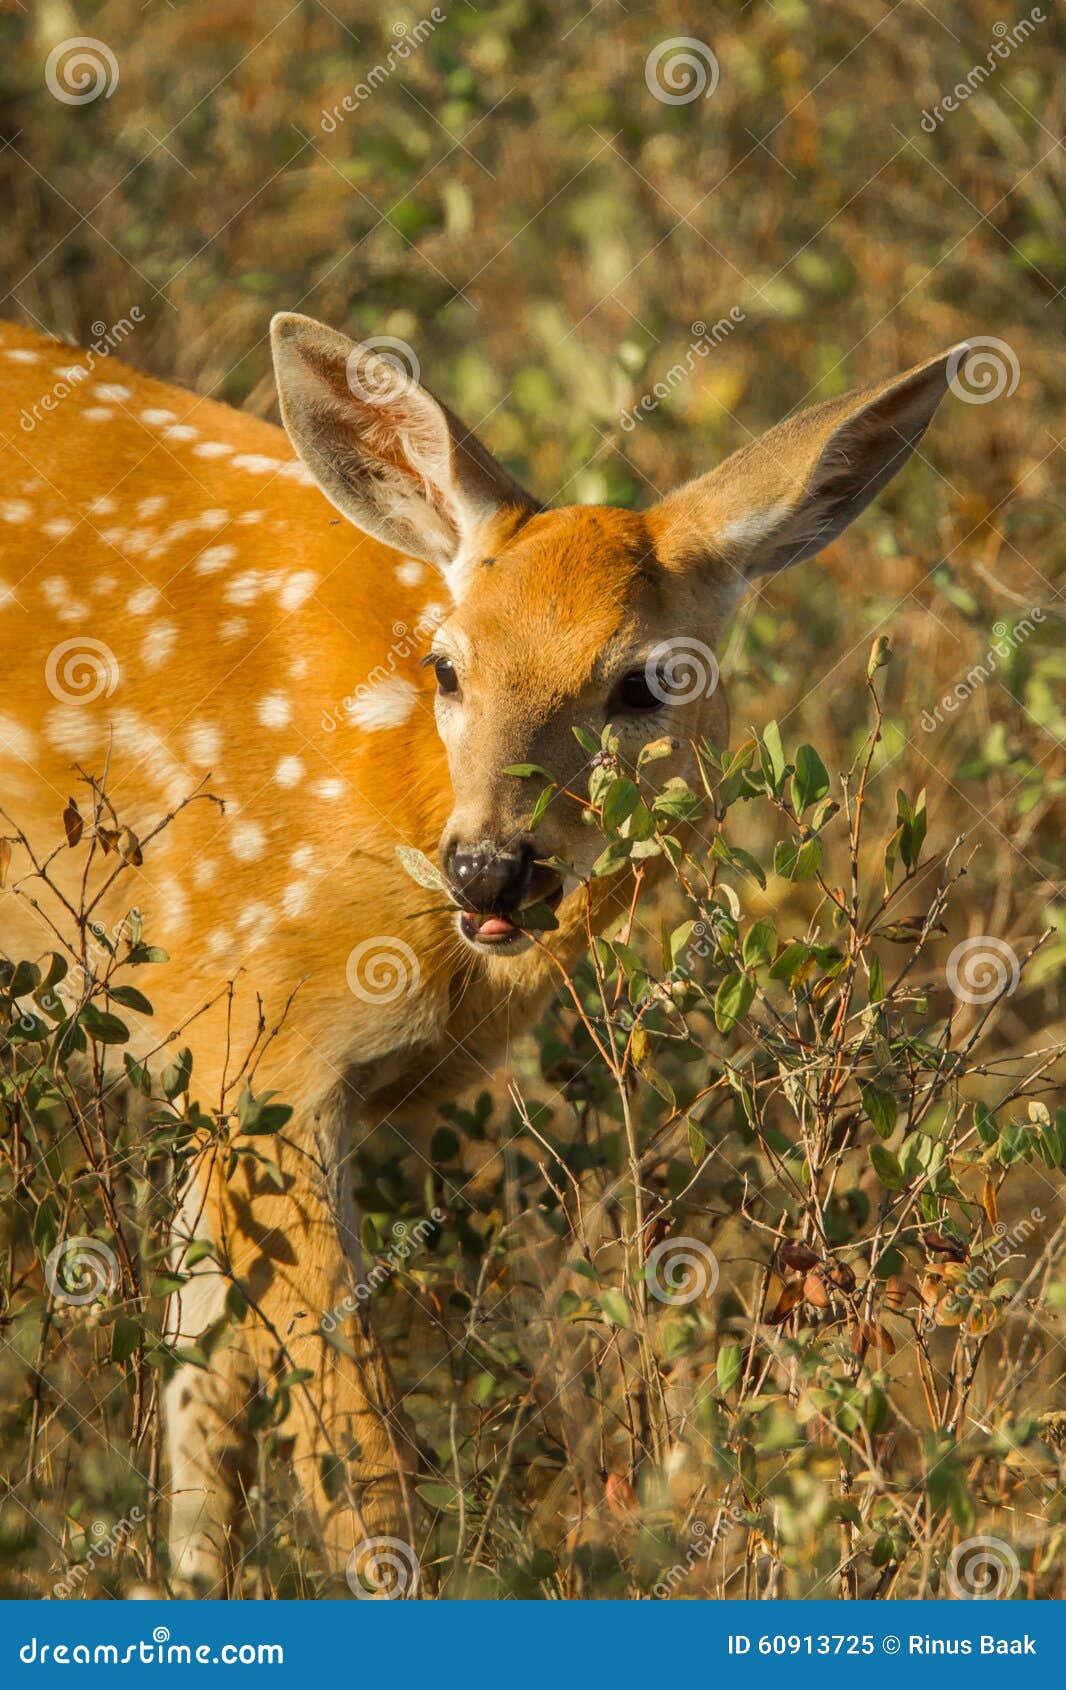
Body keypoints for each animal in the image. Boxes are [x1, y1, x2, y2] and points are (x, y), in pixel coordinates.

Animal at [0, 311, 967, 1592]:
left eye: (652, 679)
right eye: (447, 665)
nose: (491, 868)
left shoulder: (215, 1060)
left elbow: (203, 1404)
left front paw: (189, 1588)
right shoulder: (257, 1025)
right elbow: (352, 1458)